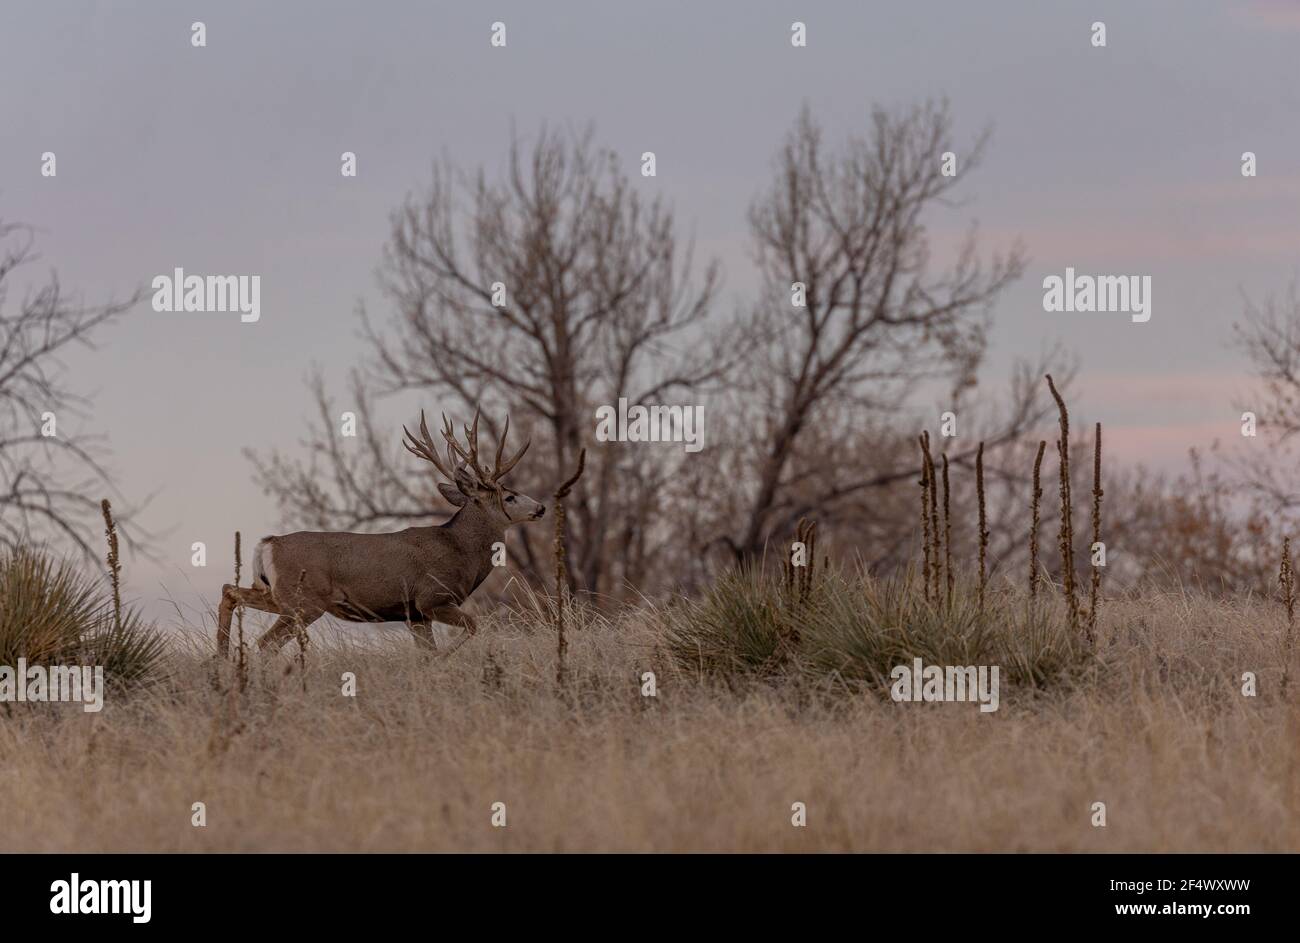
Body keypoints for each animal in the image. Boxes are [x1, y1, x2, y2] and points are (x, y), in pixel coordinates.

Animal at [216, 409, 545, 658]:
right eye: (509, 496)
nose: (541, 508)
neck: (461, 550)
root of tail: (267, 544)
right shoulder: (432, 598)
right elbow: (472, 628)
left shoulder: (415, 615)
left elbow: (428, 652)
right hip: (304, 601)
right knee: (266, 642)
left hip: (275, 594)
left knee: (229, 591)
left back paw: (221, 657)